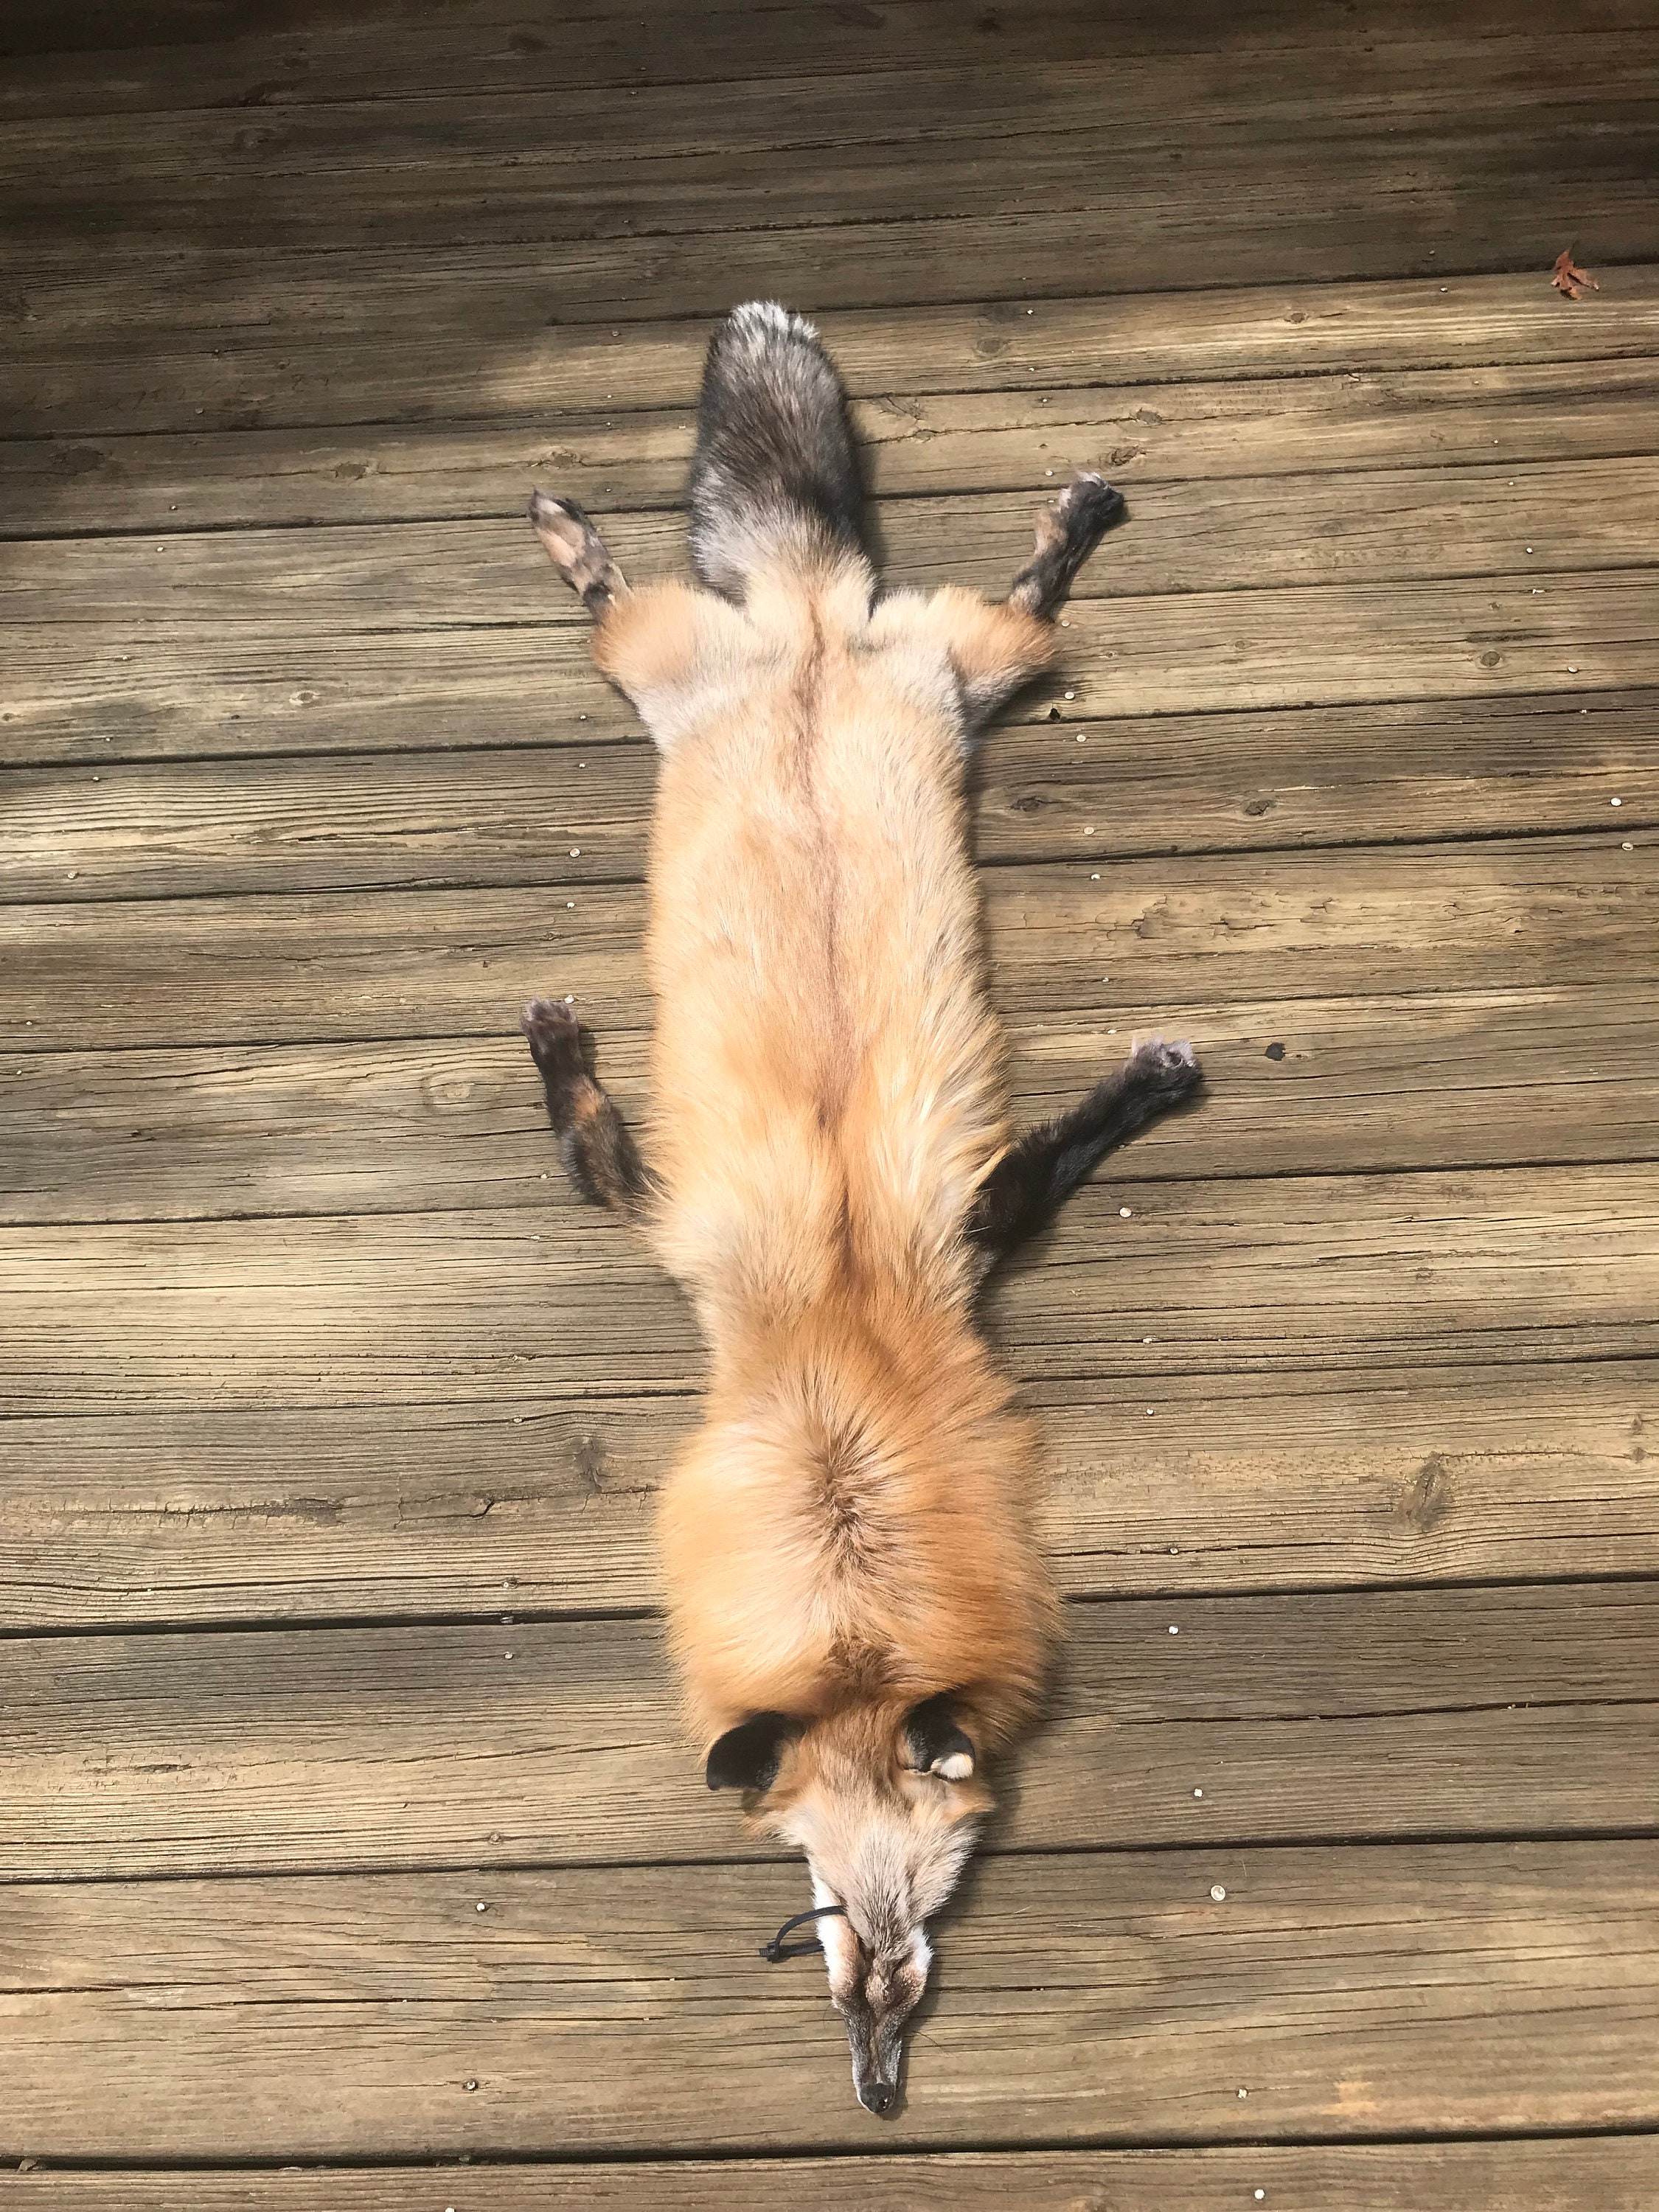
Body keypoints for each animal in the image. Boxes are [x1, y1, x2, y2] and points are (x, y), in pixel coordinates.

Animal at [521, 301, 1201, 2115]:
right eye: (832, 1916)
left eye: (917, 1923)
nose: (881, 2087)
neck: (833, 1348)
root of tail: (814, 634)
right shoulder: (685, 1227)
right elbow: (592, 1152)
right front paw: (559, 1056)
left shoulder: (958, 1234)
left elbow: (1047, 1157)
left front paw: (1146, 1087)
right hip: (680, 665)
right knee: (624, 594)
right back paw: (568, 532)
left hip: (951, 666)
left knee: (1024, 599)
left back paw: (1075, 516)